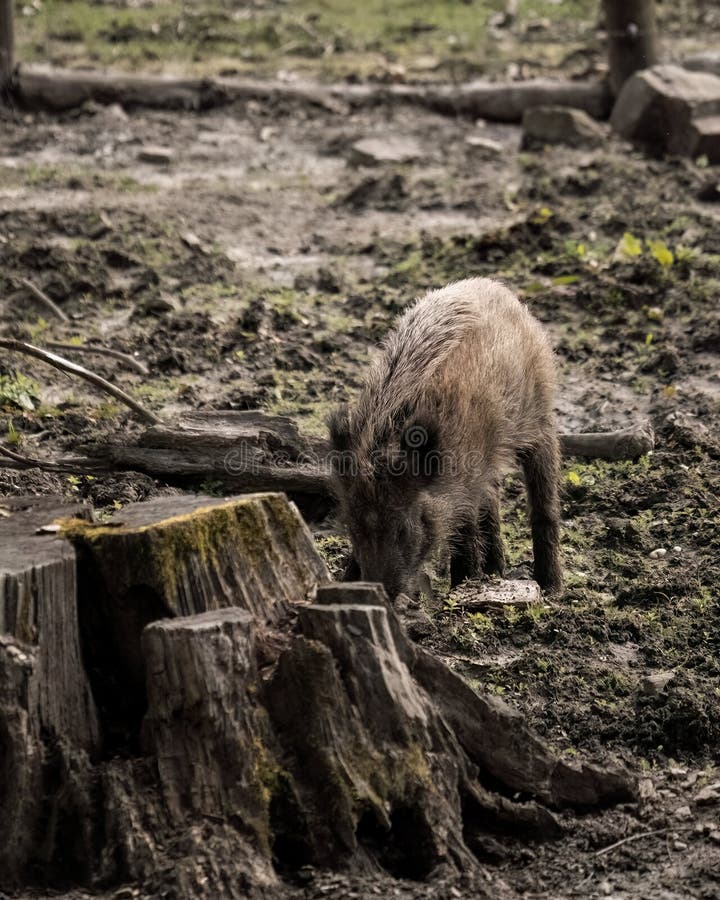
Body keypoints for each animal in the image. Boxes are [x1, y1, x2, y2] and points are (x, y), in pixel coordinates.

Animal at [327, 277, 562, 598]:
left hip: (540, 419)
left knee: (543, 502)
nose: (377, 589)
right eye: (352, 526)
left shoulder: (465, 475)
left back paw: (551, 586)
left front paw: (463, 582)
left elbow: (463, 524)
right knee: (492, 498)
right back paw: (495, 570)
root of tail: (496, 288)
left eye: (403, 529)